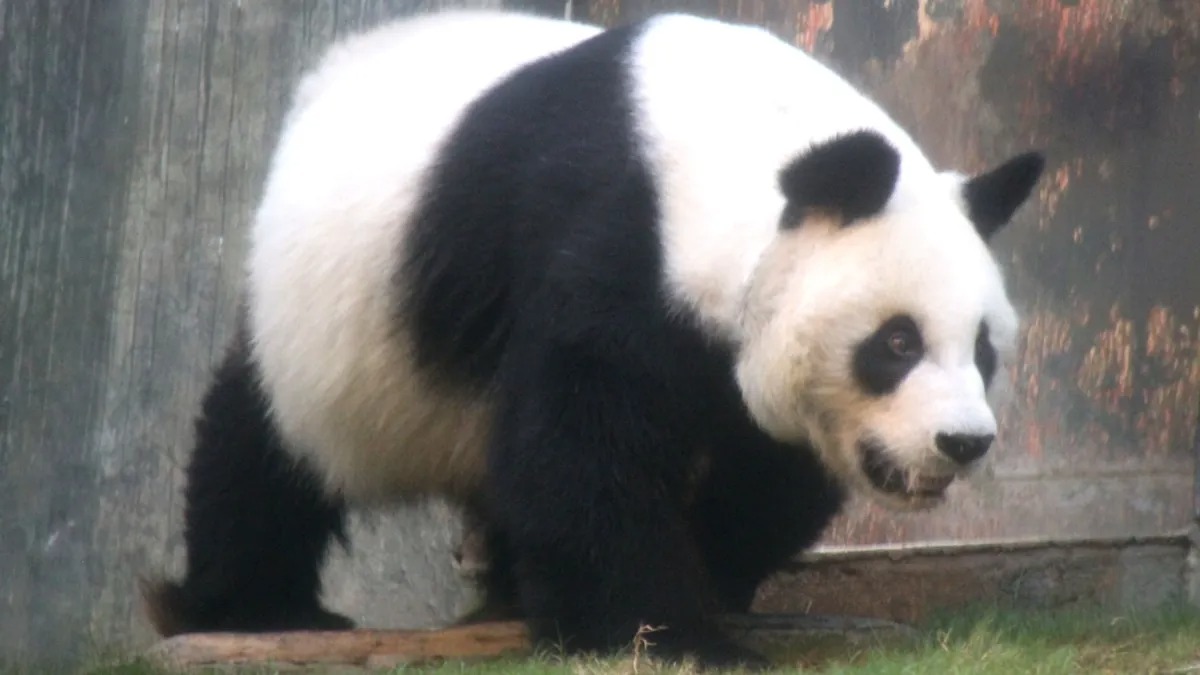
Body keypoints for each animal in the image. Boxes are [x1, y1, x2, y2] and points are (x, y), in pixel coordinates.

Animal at [142, 8, 1044, 670]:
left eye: (983, 348)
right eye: (896, 343)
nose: (963, 441)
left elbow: (763, 469)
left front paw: (710, 583)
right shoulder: (612, 231)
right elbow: (584, 447)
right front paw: (672, 636)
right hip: (330, 329)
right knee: (262, 448)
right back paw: (258, 603)